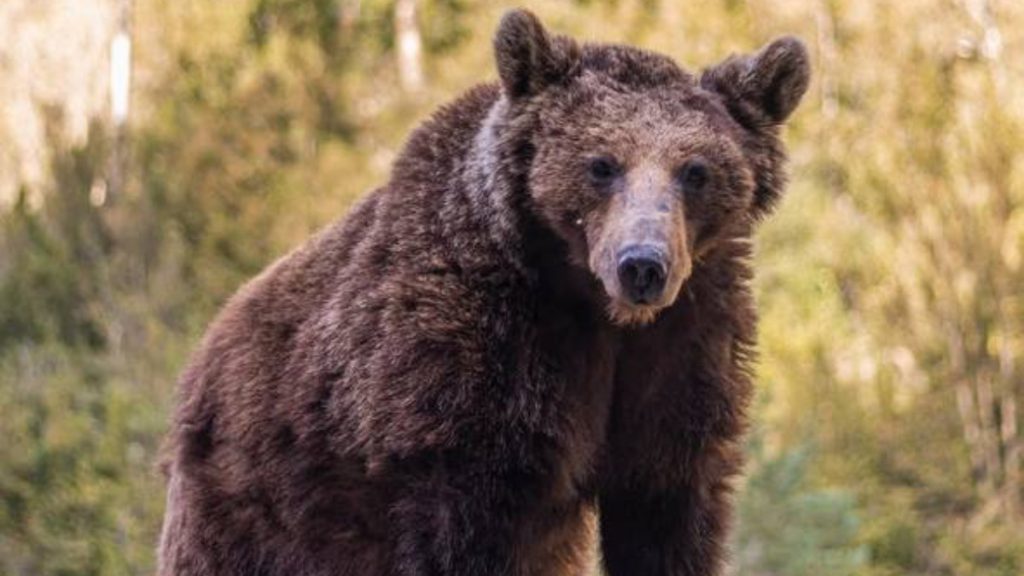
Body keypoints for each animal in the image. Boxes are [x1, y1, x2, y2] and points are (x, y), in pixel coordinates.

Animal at [157, 9, 809, 576]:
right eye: (601, 164)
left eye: (695, 171)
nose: (642, 266)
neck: (593, 307)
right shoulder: (473, 371)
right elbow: (468, 523)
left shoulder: (683, 350)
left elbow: (665, 508)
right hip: (267, 501)